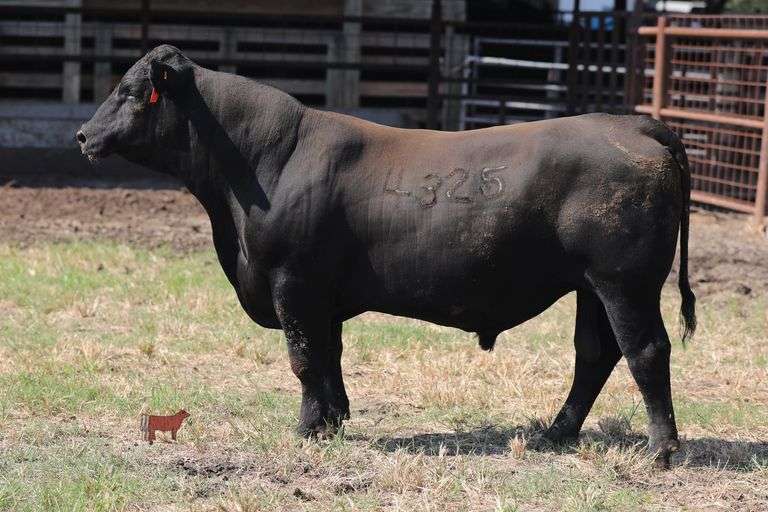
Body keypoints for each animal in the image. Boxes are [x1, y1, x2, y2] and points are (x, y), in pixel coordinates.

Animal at [77, 45, 696, 467]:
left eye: (129, 91)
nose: (82, 136)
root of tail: (632, 123)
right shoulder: (321, 297)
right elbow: (329, 356)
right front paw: (333, 422)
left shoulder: (292, 282)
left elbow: (304, 359)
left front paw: (306, 431)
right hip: (591, 285)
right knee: (594, 354)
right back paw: (555, 433)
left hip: (624, 281)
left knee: (645, 351)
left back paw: (661, 450)